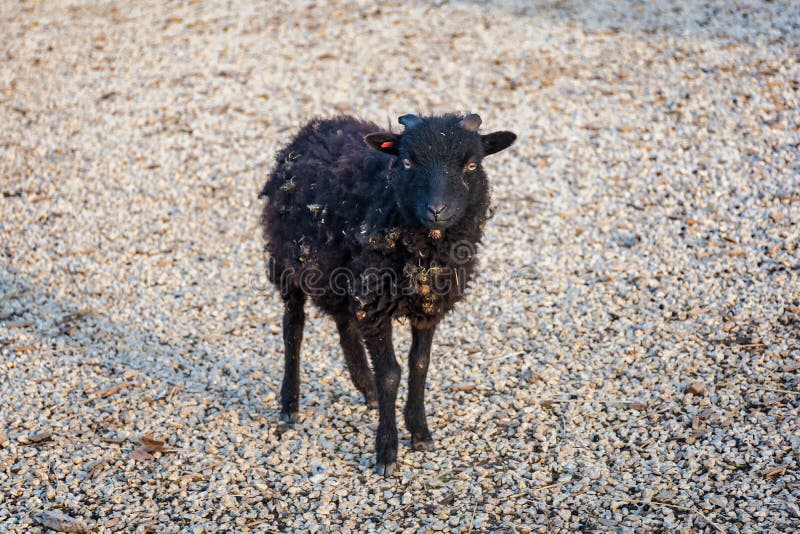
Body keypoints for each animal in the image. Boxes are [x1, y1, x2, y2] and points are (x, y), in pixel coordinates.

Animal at [259, 113, 516, 476]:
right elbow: (391, 374)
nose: (437, 209)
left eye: (471, 165)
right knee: (293, 328)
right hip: (289, 262)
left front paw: (420, 432)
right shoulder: (376, 306)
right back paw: (289, 404)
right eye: (407, 162)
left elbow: (419, 365)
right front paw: (387, 450)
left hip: (339, 273)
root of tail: (318, 124)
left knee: (344, 323)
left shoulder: (426, 306)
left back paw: (365, 387)